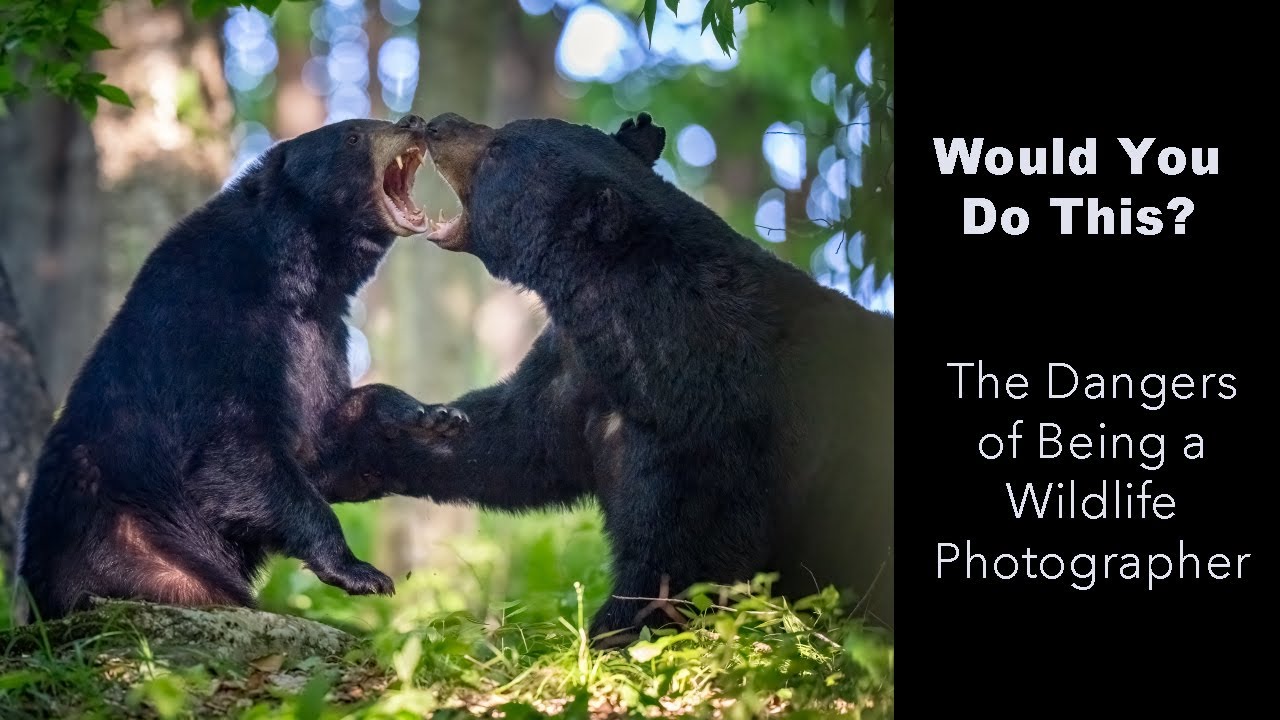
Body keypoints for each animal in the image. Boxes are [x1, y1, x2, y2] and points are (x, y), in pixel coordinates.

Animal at [14, 115, 469, 623]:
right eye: (353, 134)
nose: (412, 121)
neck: (293, 276)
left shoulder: (318, 333)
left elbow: (321, 438)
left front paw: (431, 417)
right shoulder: (211, 323)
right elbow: (233, 450)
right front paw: (361, 571)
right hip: (133, 539)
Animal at [355, 110, 895, 645]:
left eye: (499, 149)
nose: (436, 123)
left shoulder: (718, 421)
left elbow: (686, 545)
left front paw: (614, 630)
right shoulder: (579, 367)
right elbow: (514, 442)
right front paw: (378, 434)